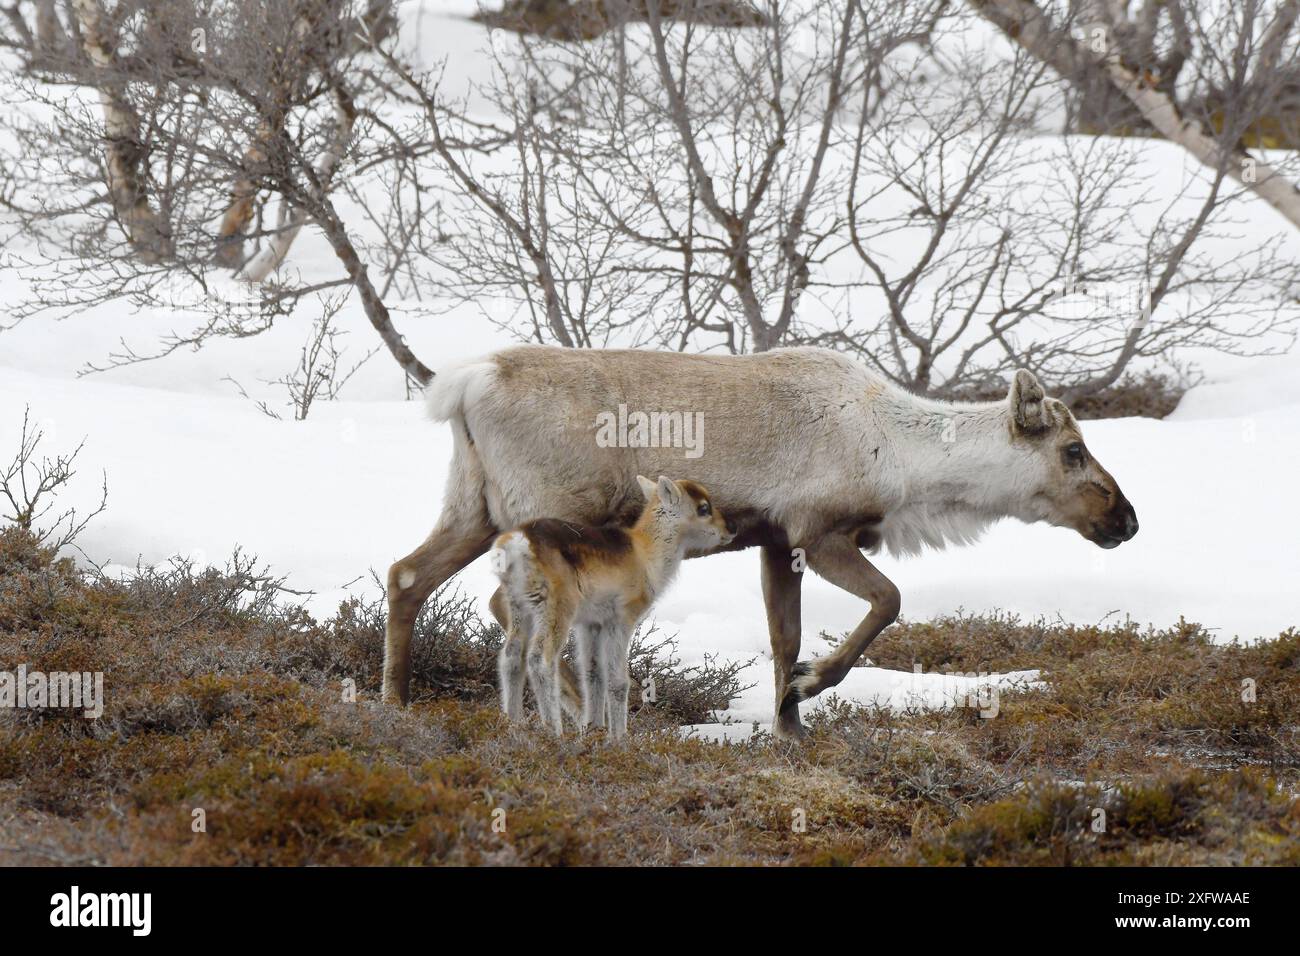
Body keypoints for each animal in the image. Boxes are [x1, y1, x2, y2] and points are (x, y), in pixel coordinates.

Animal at [490, 475, 735, 738]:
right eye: (703, 508)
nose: (731, 528)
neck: (646, 555)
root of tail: (517, 543)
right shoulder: (621, 620)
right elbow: (618, 681)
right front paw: (619, 738)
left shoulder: (591, 624)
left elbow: (593, 673)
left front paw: (595, 730)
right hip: (555, 610)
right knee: (539, 659)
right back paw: (554, 731)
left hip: (519, 606)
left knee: (512, 656)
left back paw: (514, 725)